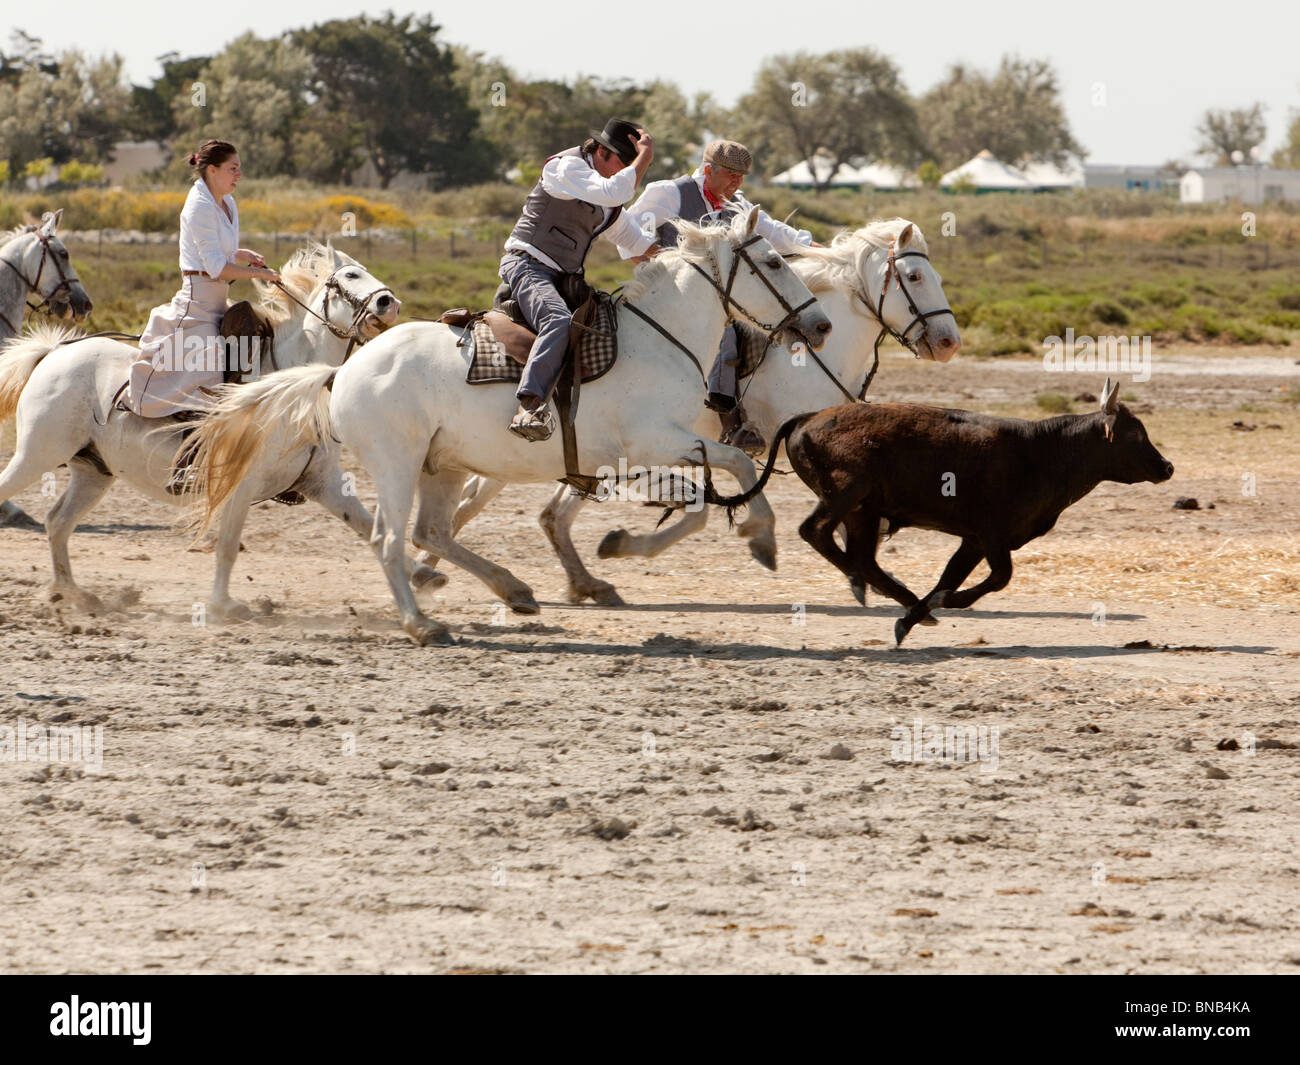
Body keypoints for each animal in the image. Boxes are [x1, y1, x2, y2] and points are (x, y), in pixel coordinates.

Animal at [700, 379, 1174, 645]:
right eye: (1136, 434)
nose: (1167, 467)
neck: (1042, 451)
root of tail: (810, 417)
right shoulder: (992, 534)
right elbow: (997, 578)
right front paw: (944, 604)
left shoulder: (973, 540)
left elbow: (952, 575)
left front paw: (914, 617)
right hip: (846, 494)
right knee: (816, 533)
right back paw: (870, 586)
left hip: (863, 510)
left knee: (862, 557)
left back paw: (902, 601)